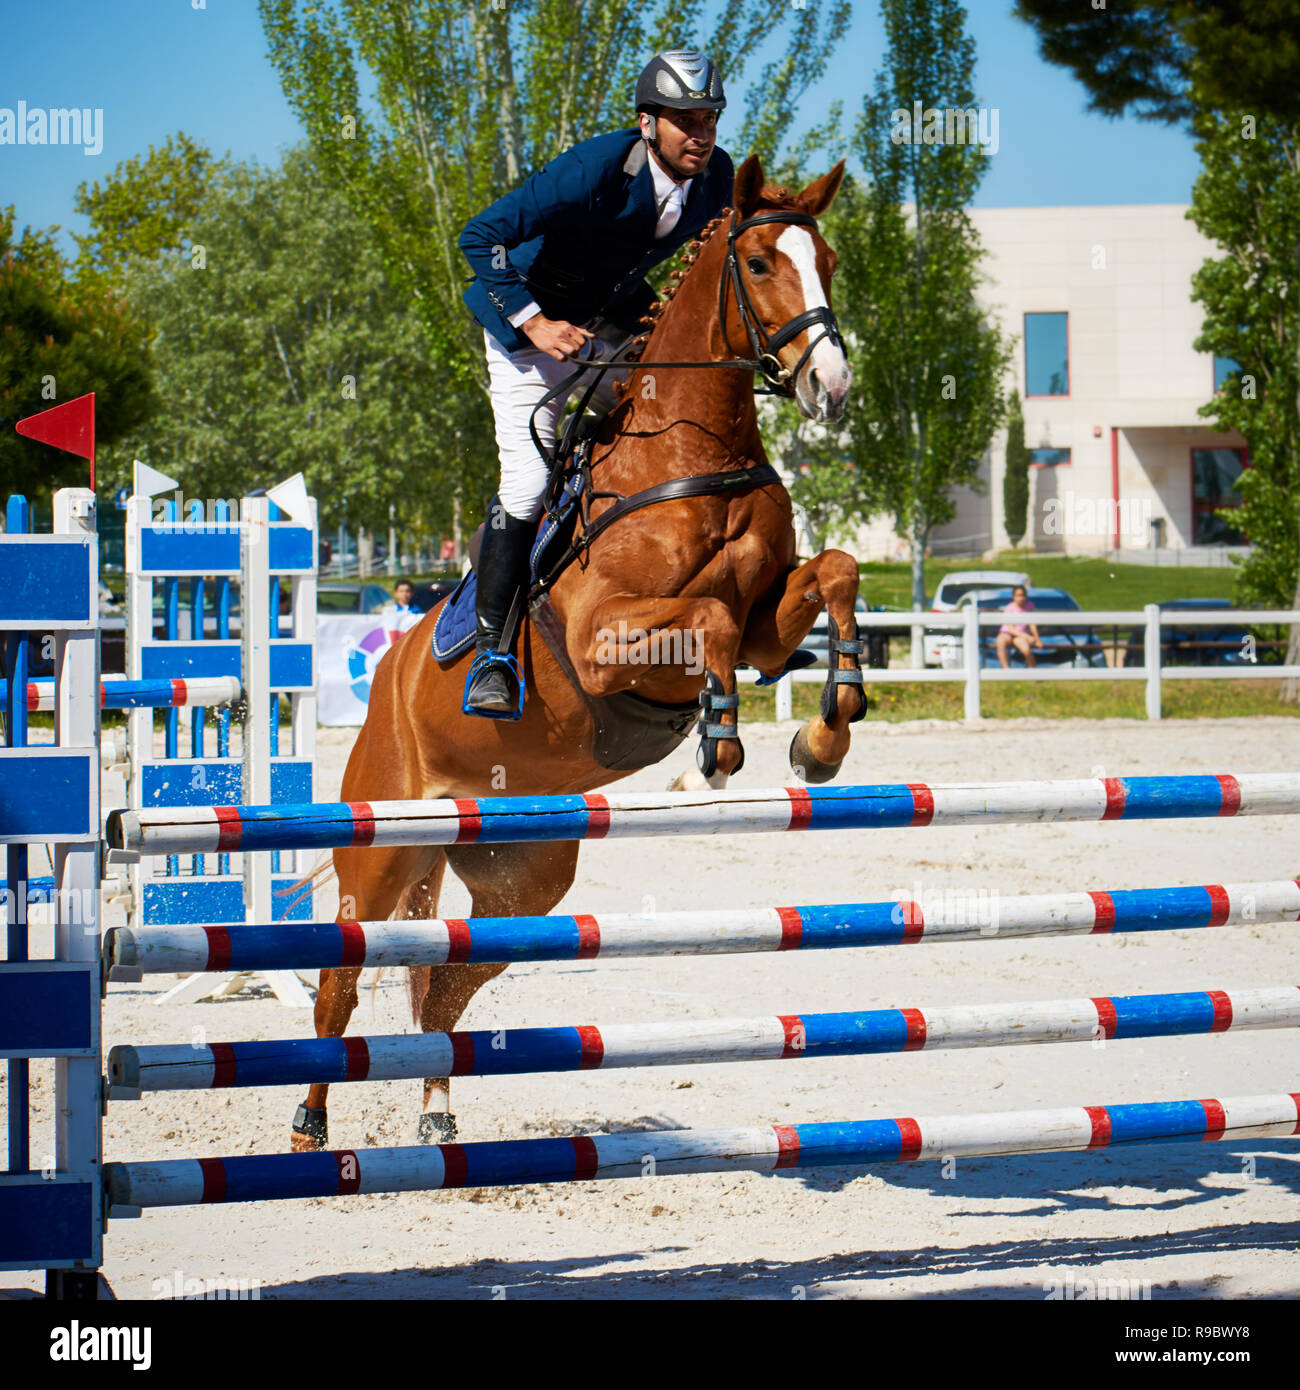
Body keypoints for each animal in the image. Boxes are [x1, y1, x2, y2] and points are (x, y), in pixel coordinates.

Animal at [290, 154, 866, 1151]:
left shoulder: (767, 621)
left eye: (827, 259)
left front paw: (826, 733)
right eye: (759, 263)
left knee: (444, 986)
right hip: (381, 849)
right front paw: (719, 741)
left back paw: (436, 1113)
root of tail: (388, 683)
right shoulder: (609, 640)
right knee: (341, 982)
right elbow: (707, 623)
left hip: (524, 880)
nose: (829, 386)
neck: (691, 445)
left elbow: (834, 571)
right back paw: (310, 1124)